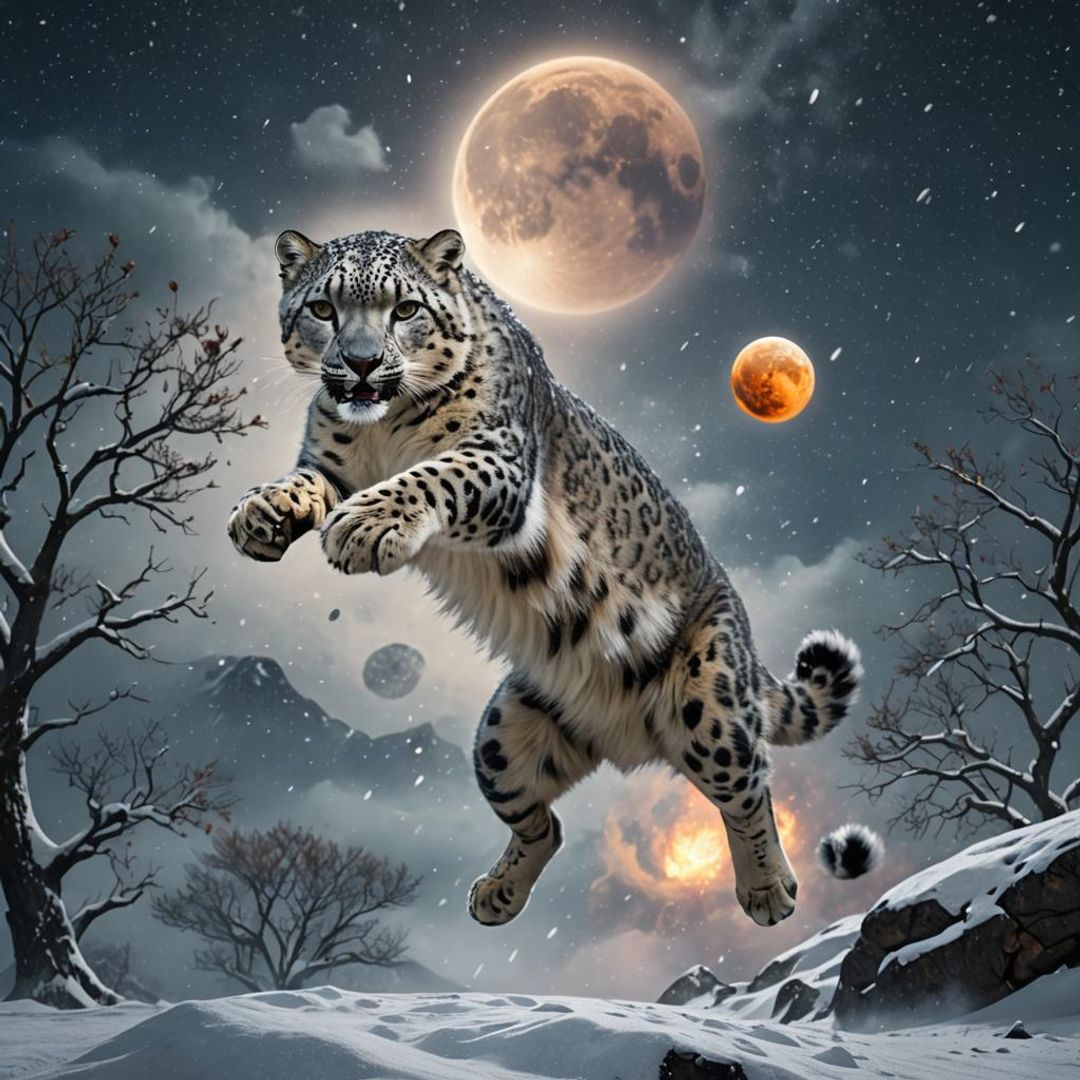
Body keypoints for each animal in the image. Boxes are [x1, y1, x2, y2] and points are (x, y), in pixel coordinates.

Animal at [227, 226, 863, 928]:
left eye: (405, 309)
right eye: (322, 309)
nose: (361, 363)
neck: (382, 433)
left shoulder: (498, 459)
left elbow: (433, 475)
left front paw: (365, 524)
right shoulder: (332, 465)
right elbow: (300, 482)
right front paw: (259, 515)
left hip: (710, 702)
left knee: (748, 787)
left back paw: (770, 889)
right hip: (503, 737)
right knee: (546, 825)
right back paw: (496, 895)